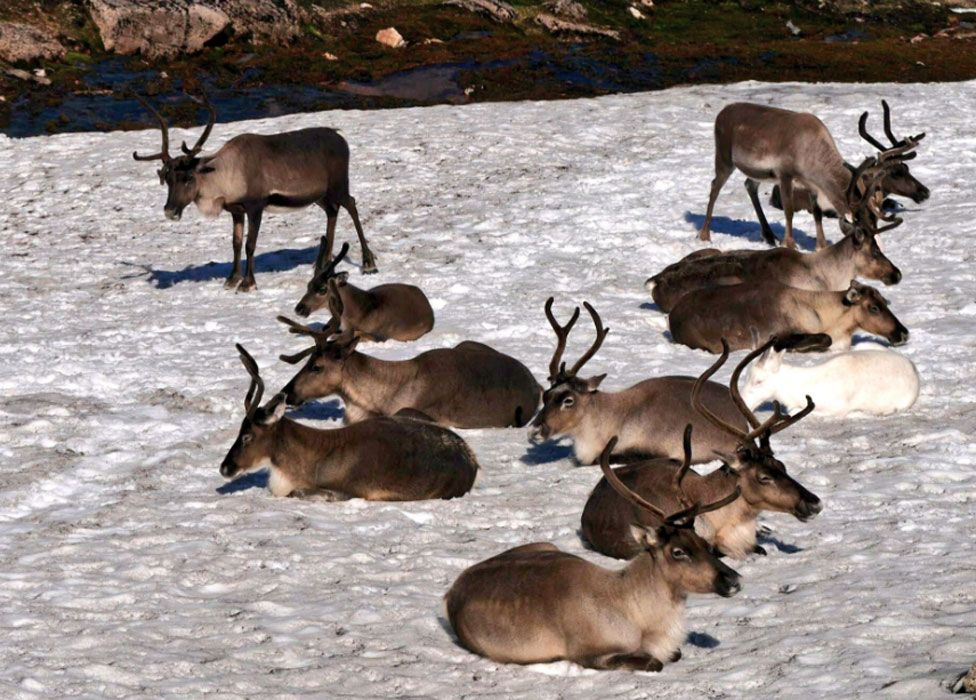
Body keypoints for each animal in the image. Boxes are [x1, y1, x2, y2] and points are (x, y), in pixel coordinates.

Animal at [132, 93, 376, 293]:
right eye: (168, 179)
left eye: (188, 177)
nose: (170, 211)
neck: (225, 177)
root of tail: (342, 140)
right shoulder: (236, 210)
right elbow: (236, 243)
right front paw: (232, 279)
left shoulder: (255, 206)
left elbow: (250, 245)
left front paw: (248, 283)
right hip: (320, 196)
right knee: (332, 212)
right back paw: (324, 264)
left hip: (338, 185)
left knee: (351, 204)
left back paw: (369, 263)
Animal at [444, 437, 742, 672]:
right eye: (678, 551)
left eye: (702, 542)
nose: (734, 580)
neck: (640, 617)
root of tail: (451, 592)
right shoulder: (587, 653)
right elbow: (653, 662)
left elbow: (674, 653)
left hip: (546, 545)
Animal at [668, 278, 909, 353]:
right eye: (874, 307)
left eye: (884, 302)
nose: (903, 332)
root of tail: (672, 316)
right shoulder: (778, 335)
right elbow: (824, 338)